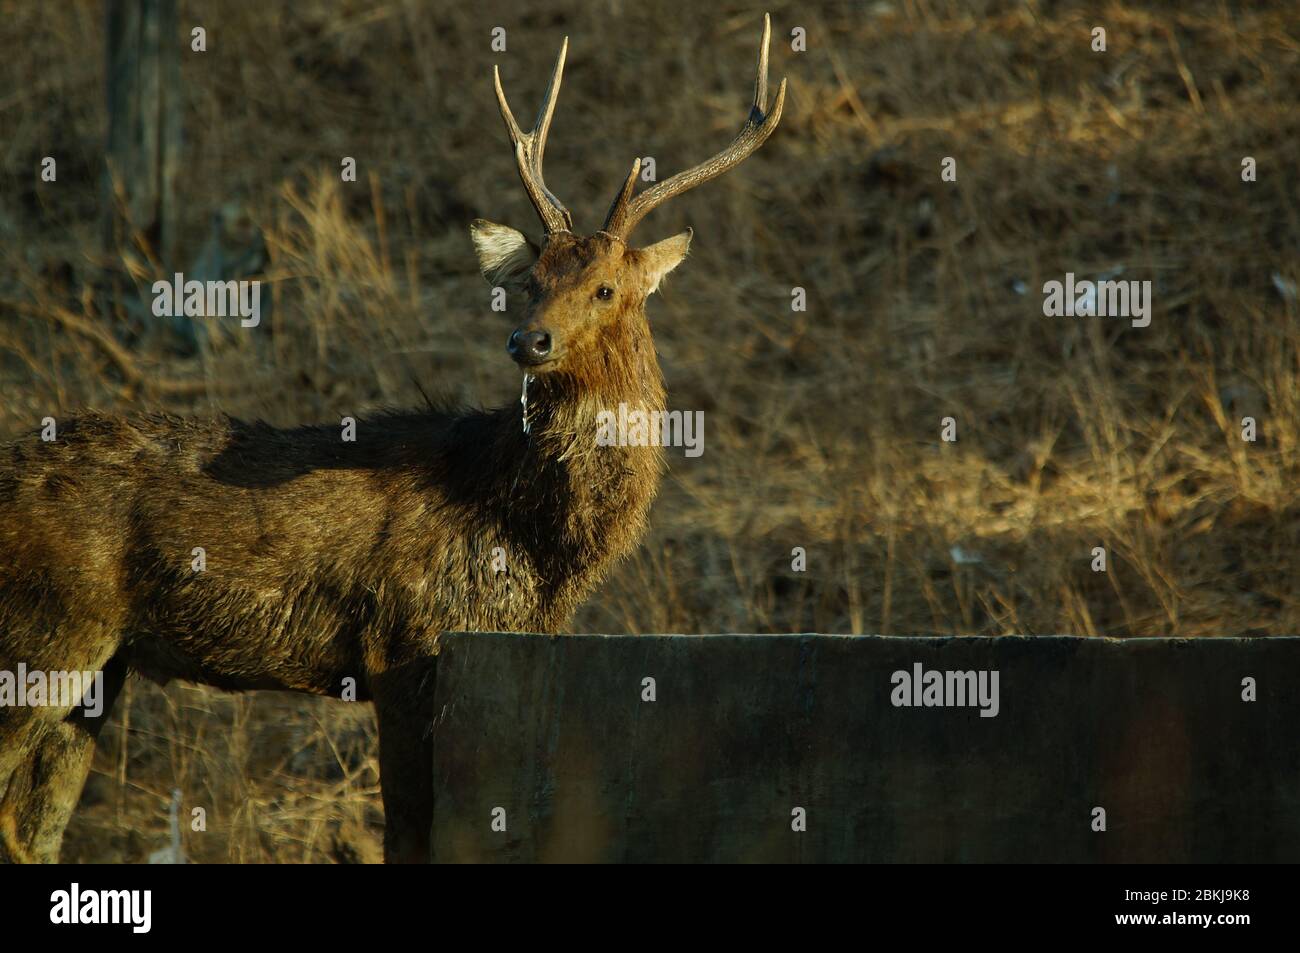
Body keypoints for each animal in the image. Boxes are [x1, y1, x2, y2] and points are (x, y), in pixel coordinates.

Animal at [0, 15, 785, 864]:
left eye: (606, 288)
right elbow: (409, 829)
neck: (525, 531)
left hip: (97, 665)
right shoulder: (403, 642)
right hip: (42, 632)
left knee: (34, 825)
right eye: (531, 278)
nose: (528, 340)